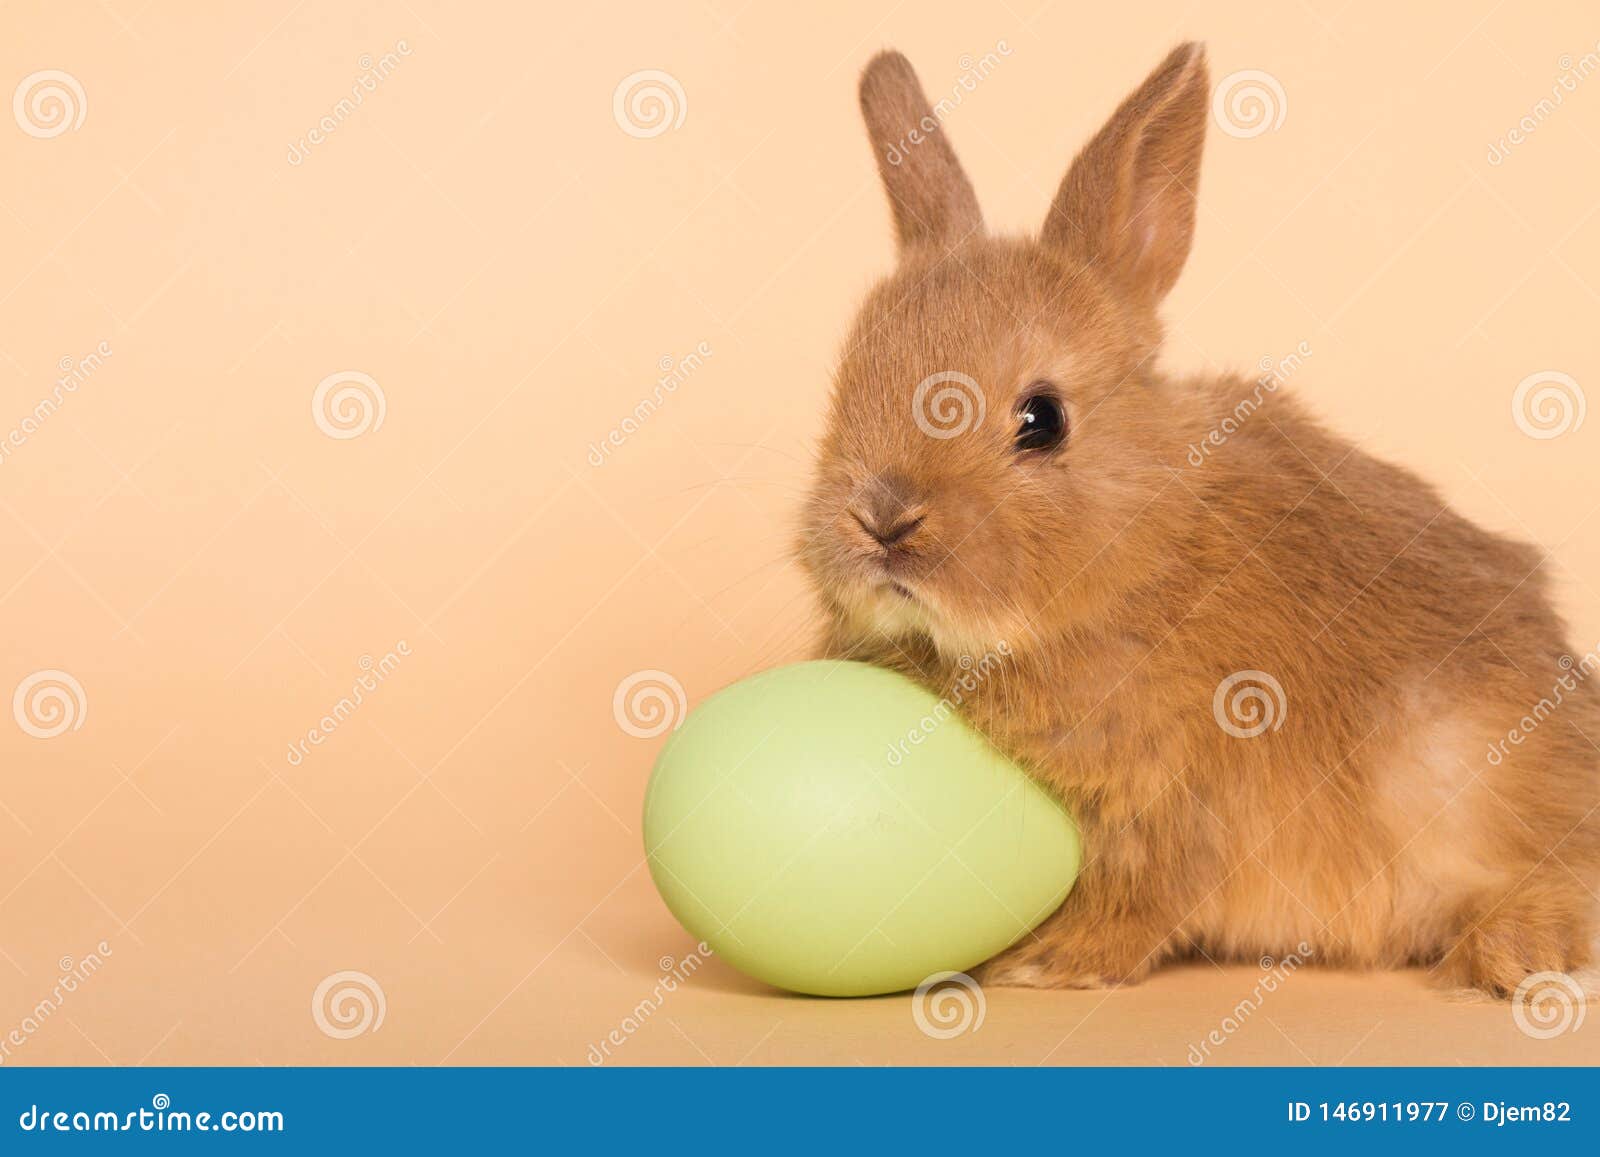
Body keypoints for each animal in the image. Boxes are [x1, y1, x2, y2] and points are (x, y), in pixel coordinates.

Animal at [796, 41, 1600, 997]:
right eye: (845, 387)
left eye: (1042, 419)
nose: (881, 519)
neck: (1143, 556)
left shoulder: (1183, 795)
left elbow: (1146, 896)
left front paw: (1048, 962)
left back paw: (1517, 954)